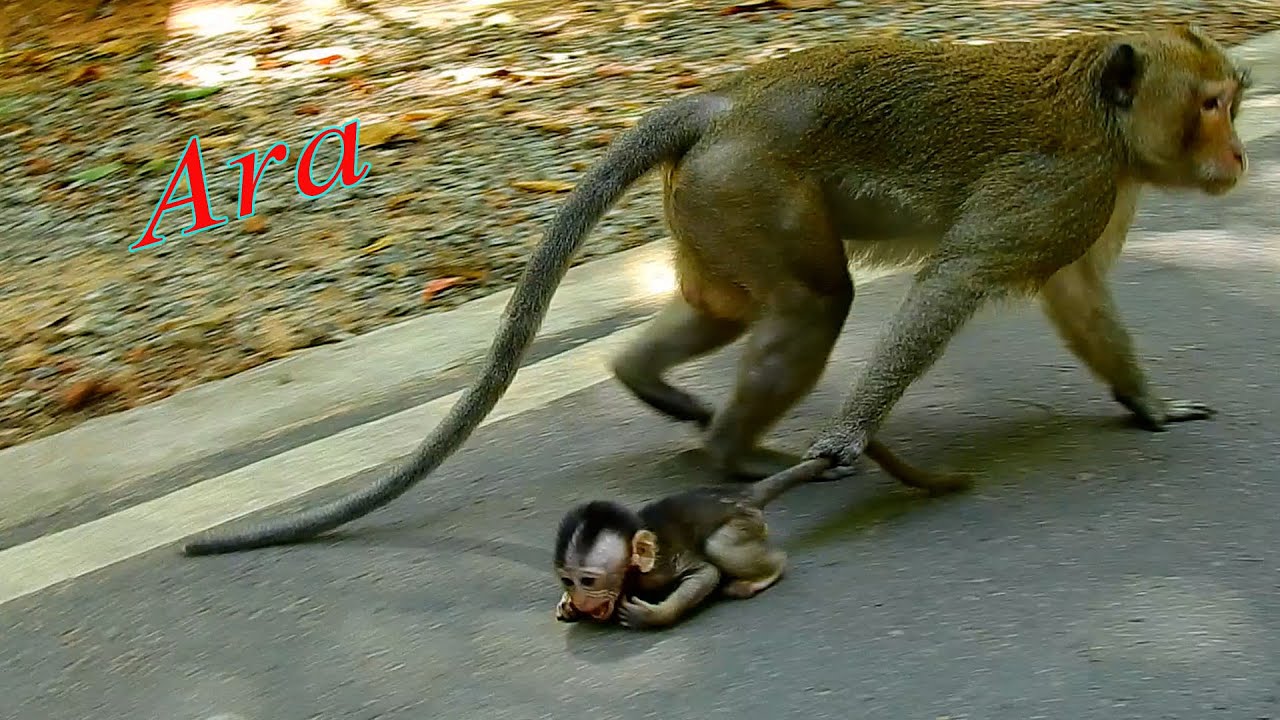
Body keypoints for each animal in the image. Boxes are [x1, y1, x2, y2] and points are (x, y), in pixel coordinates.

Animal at [179, 24, 1249, 557]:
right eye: (1210, 104)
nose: (1238, 152)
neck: (1104, 117)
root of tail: (725, 104)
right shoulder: (1063, 186)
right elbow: (957, 280)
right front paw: (847, 438)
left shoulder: (1088, 198)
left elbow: (1080, 299)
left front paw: (1147, 404)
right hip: (750, 187)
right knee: (814, 303)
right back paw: (738, 454)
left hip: (710, 202)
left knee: (731, 307)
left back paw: (646, 379)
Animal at [553, 457, 825, 630]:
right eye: (568, 581)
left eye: (588, 581)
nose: (580, 600)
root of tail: (742, 493)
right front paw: (567, 603)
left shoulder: (658, 570)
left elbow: (708, 573)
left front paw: (654, 616)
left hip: (745, 521)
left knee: (719, 546)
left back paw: (766, 572)